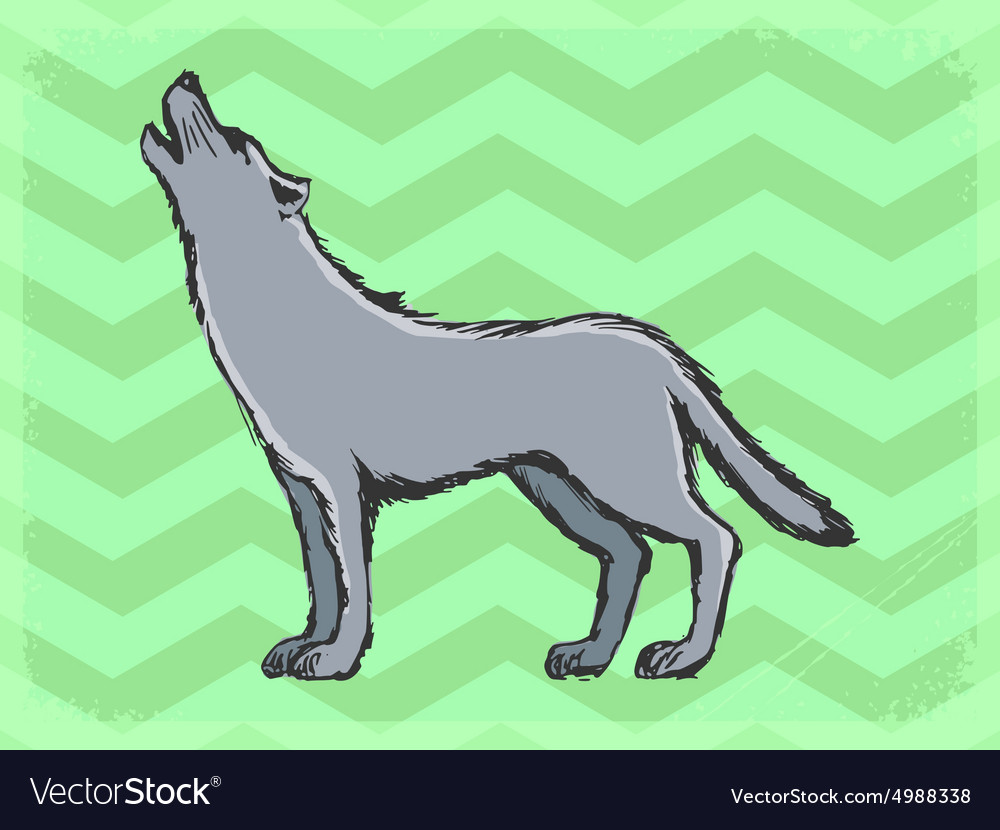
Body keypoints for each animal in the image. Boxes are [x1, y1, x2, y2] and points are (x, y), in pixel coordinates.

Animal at [141, 72, 855, 682]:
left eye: (234, 139)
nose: (188, 75)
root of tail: (652, 345)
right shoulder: (300, 490)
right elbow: (321, 581)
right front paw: (303, 647)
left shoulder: (344, 489)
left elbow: (354, 586)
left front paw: (338, 660)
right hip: (558, 488)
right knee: (631, 553)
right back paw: (591, 655)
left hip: (625, 480)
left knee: (715, 537)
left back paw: (682, 656)